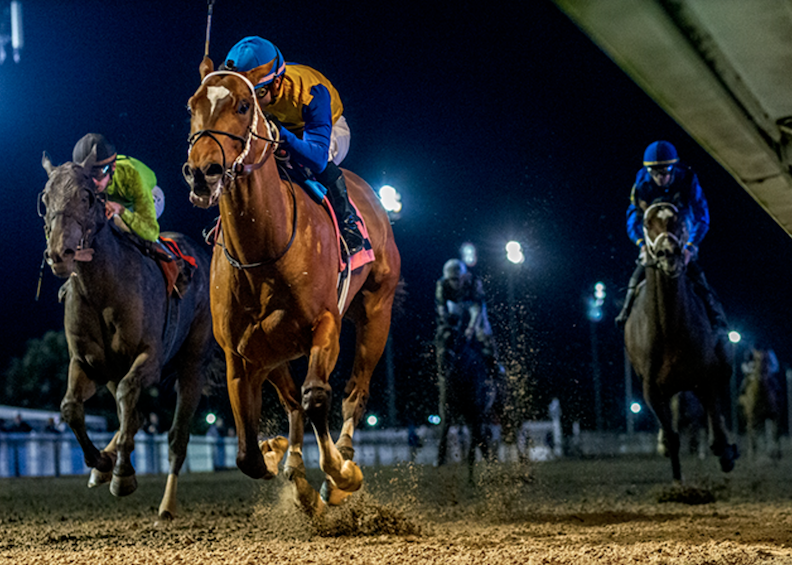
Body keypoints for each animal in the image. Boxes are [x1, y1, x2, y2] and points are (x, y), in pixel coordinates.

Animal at [39, 152, 214, 520]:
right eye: (45, 199)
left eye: (87, 197)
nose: (59, 254)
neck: (102, 288)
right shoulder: (87, 363)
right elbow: (70, 408)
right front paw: (102, 463)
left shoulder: (149, 359)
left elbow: (129, 398)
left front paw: (121, 474)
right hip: (112, 370)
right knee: (128, 415)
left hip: (192, 364)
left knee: (176, 437)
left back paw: (166, 506)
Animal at [182, 57, 401, 515]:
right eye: (192, 105)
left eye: (244, 105)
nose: (202, 172)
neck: (264, 250)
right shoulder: (240, 356)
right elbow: (247, 454)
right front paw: (277, 454)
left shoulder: (326, 325)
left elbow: (317, 396)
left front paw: (340, 475)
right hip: (274, 350)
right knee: (292, 404)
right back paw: (297, 471)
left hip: (377, 311)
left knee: (355, 391)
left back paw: (341, 464)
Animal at [624, 202, 738, 482]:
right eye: (647, 222)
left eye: (679, 219)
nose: (668, 254)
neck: (669, 330)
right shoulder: (652, 388)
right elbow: (673, 437)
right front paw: (677, 479)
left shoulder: (706, 379)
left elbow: (715, 427)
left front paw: (726, 453)